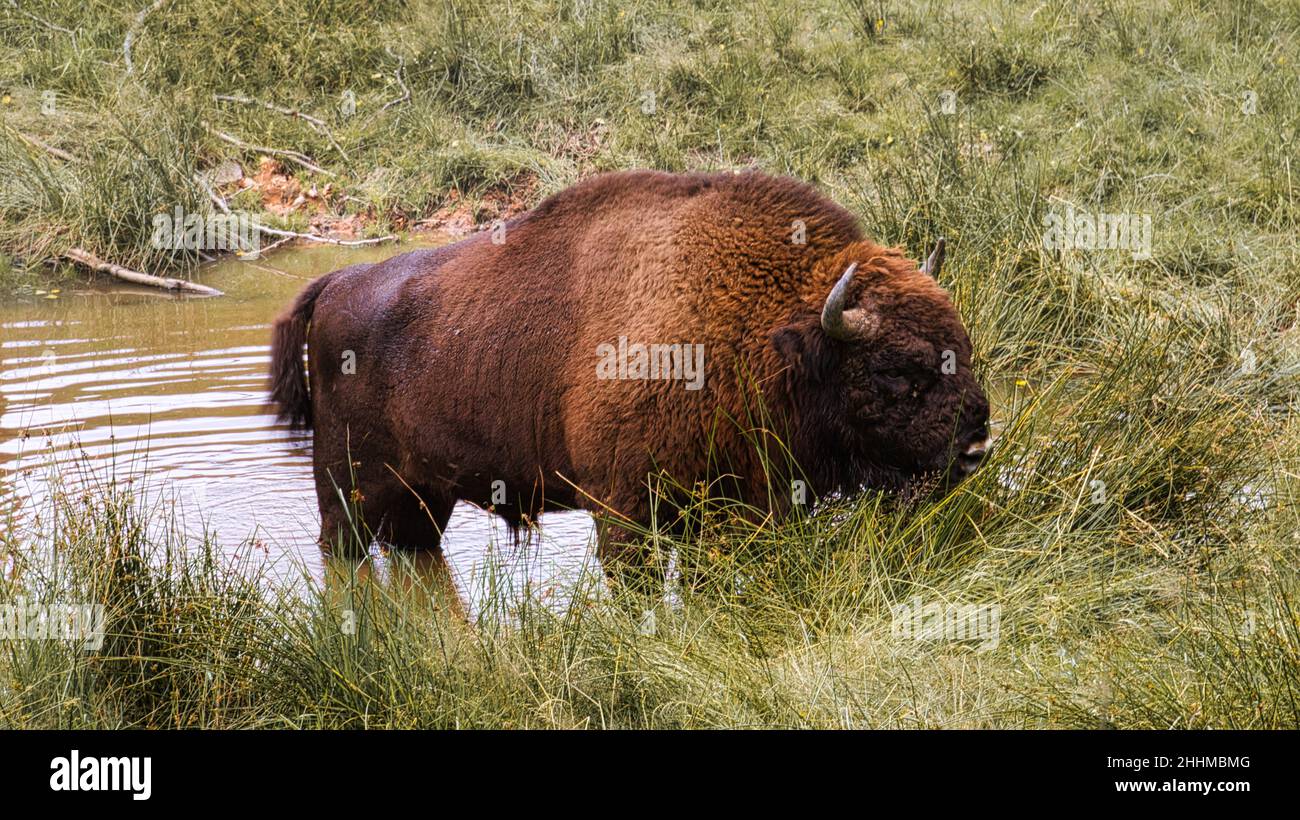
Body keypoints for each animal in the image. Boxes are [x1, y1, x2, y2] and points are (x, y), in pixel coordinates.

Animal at [270, 170, 990, 584]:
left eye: (961, 344)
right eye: (894, 367)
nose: (977, 444)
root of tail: (335, 284)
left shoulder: (727, 504)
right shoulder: (623, 508)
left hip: (426, 499)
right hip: (347, 492)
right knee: (344, 553)